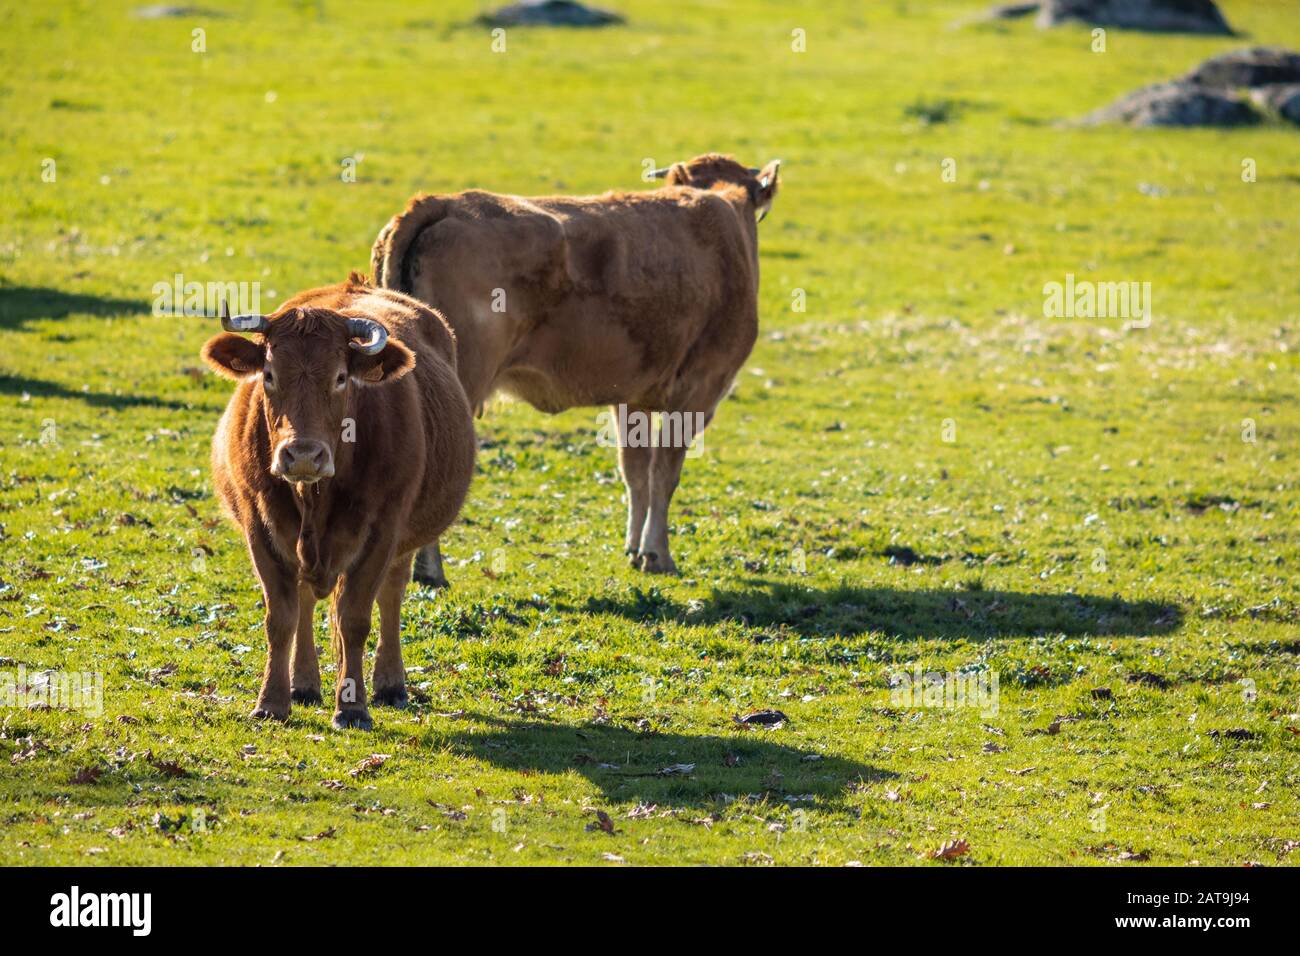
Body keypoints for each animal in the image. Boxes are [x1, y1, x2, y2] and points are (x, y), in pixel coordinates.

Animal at [201, 274, 476, 729]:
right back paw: (304, 684)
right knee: (305, 600)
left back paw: (390, 683)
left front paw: (352, 707)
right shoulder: (260, 529)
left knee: (392, 595)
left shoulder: (382, 531)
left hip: (405, 542)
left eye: (341, 377)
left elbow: (355, 618)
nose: (303, 455)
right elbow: (281, 617)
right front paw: (272, 701)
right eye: (269, 375)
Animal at [370, 153, 781, 584]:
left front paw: (634, 549)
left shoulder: (630, 396)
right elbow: (664, 475)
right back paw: (430, 570)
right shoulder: (696, 391)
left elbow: (635, 472)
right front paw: (657, 554)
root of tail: (444, 202)